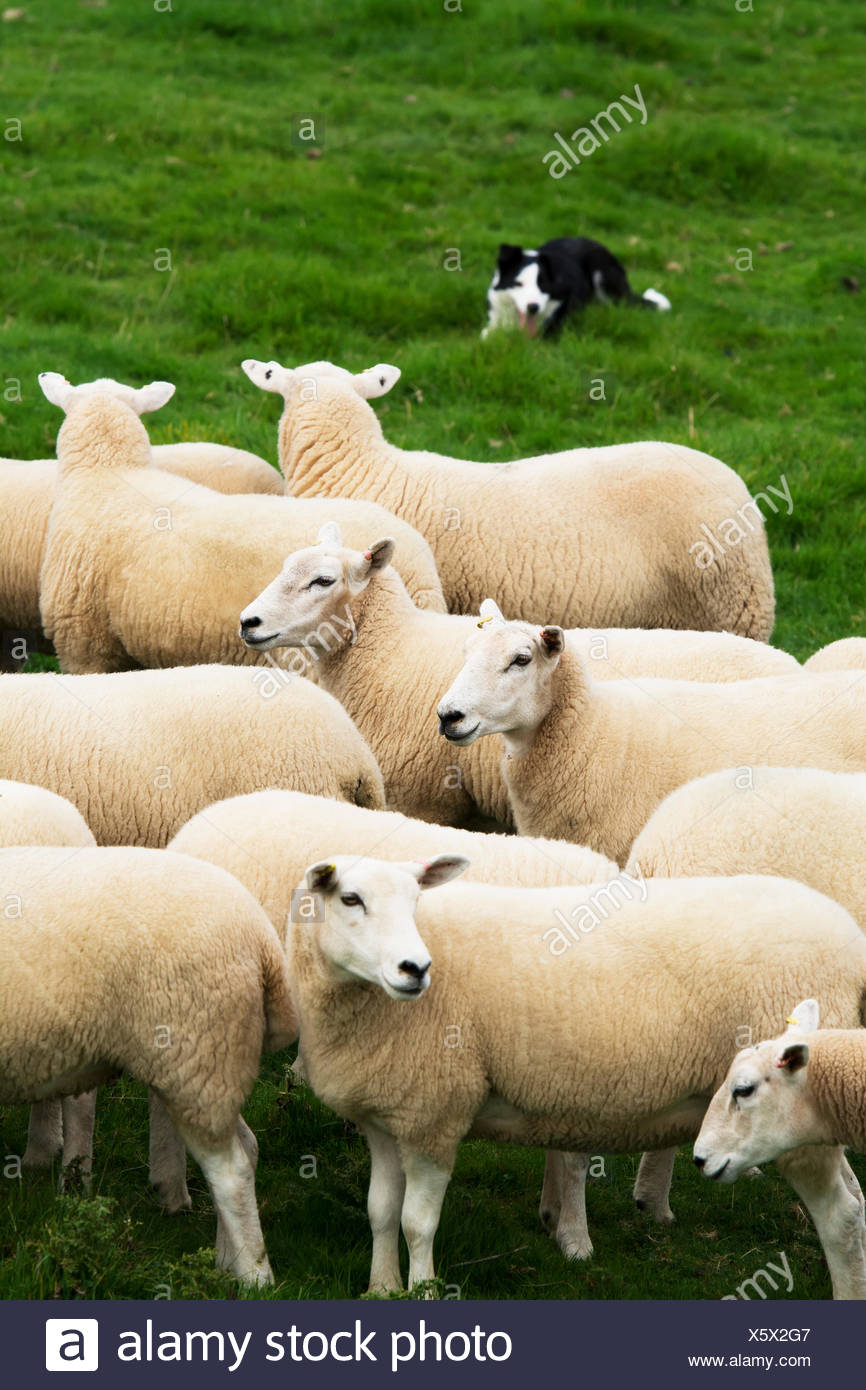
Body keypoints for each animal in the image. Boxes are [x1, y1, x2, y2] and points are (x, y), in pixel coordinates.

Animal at [1, 844, 296, 1283]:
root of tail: (262, 939)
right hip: (205, 1070)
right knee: (246, 1147)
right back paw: (227, 1262)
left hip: (197, 1053)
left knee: (231, 1171)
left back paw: (255, 1277)